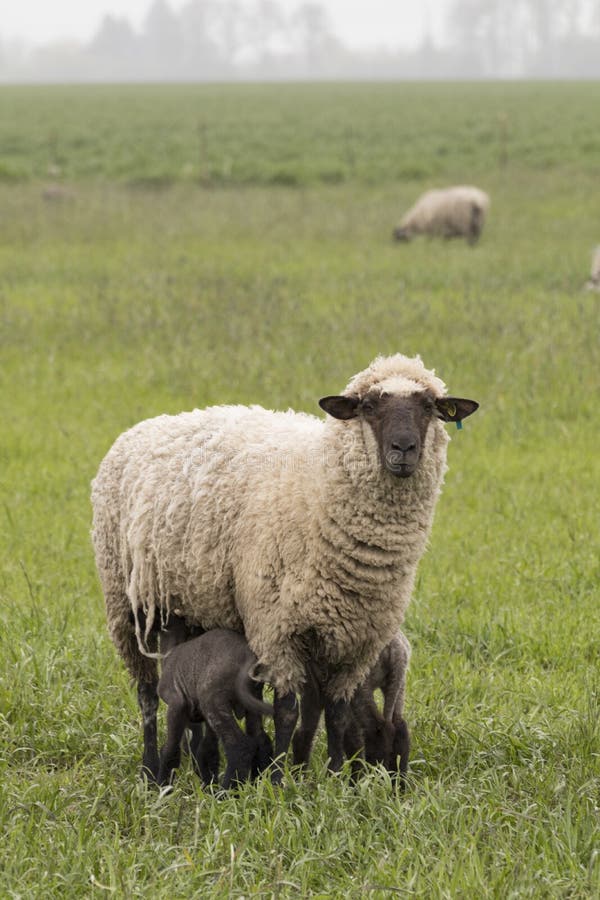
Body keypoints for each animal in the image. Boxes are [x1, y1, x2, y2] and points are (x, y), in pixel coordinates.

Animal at [157, 628, 274, 789]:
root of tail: (248, 657)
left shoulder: (176, 705)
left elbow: (170, 749)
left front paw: (160, 788)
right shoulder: (204, 718)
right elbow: (207, 751)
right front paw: (207, 785)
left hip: (212, 699)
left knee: (239, 746)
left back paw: (227, 791)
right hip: (250, 701)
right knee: (261, 739)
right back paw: (259, 783)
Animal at [292, 632, 411, 780]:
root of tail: (395, 648)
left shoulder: (318, 689)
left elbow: (312, 730)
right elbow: (350, 736)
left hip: (361, 686)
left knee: (377, 729)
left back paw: (375, 778)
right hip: (397, 684)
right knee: (399, 727)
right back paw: (398, 781)